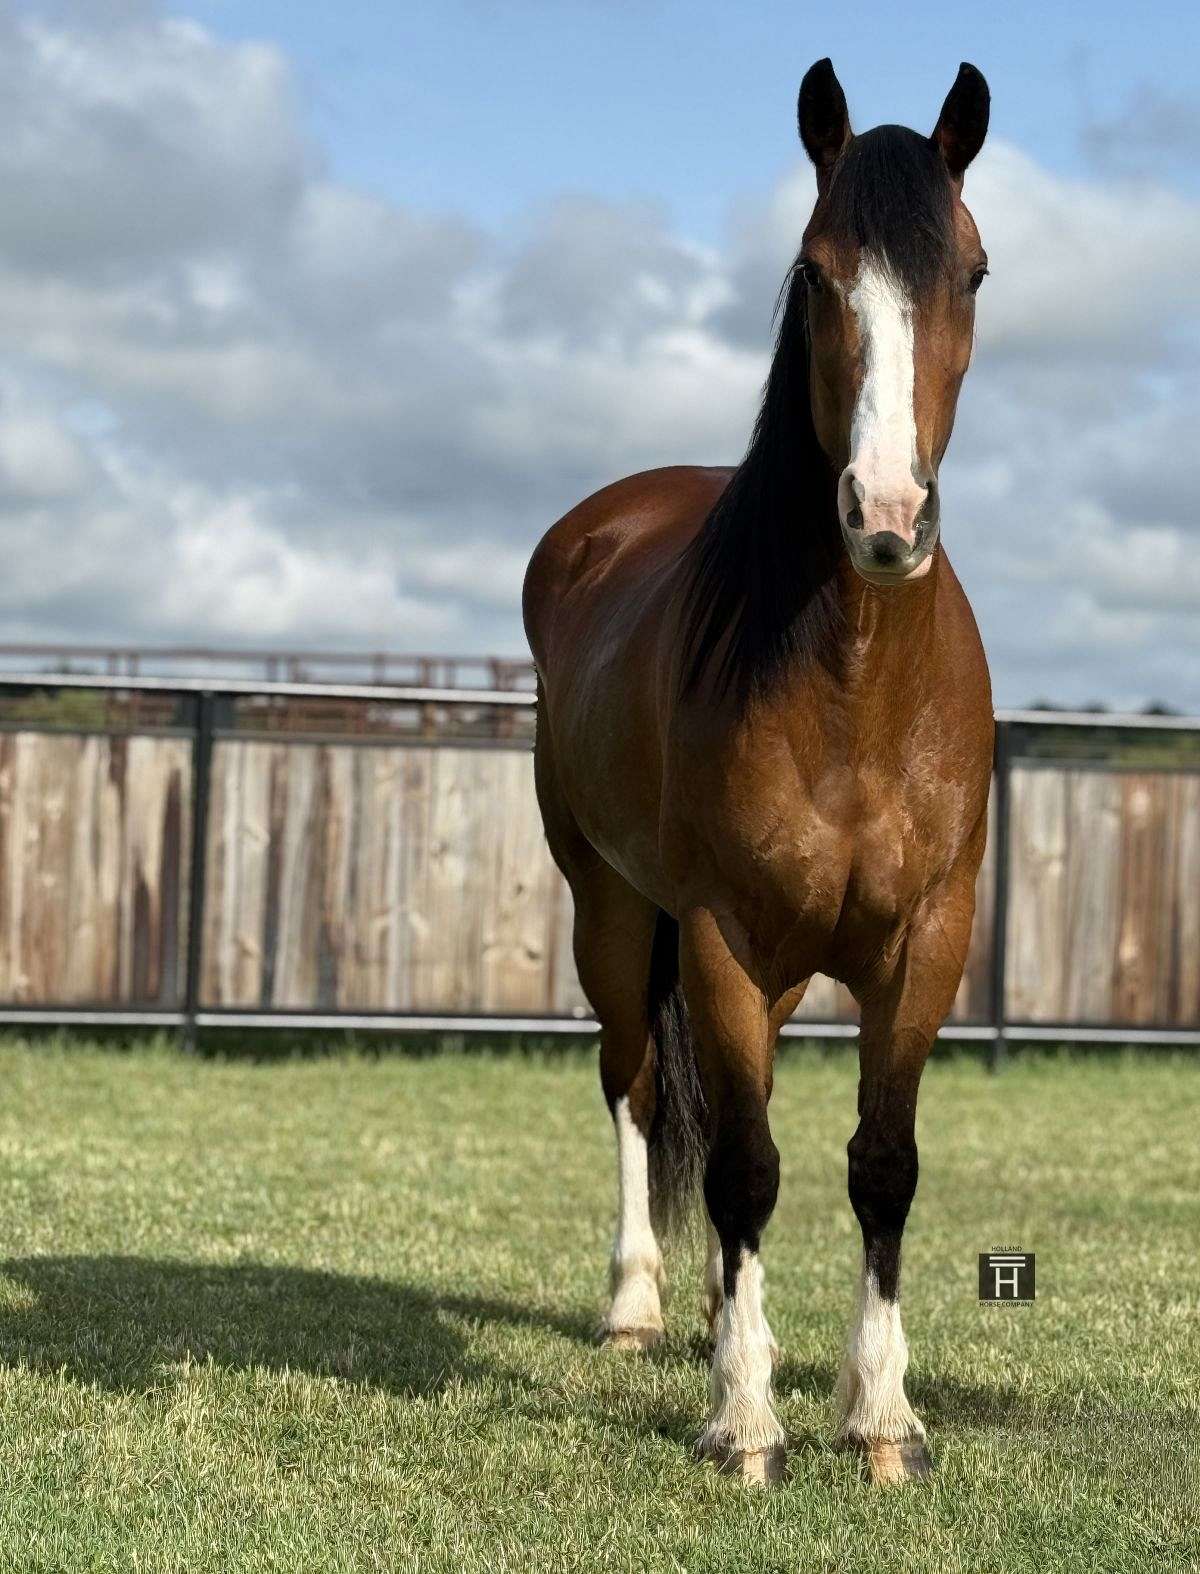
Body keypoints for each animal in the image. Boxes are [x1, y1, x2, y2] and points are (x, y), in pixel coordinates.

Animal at [522, 58, 993, 1488]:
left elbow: (879, 1164)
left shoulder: (925, 943)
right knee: (635, 1084)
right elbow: (740, 1169)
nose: (886, 517)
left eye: (972, 271)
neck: (854, 688)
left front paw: (881, 1416)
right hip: (616, 914)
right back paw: (639, 1305)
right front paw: (744, 1420)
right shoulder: (724, 936)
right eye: (819, 271)